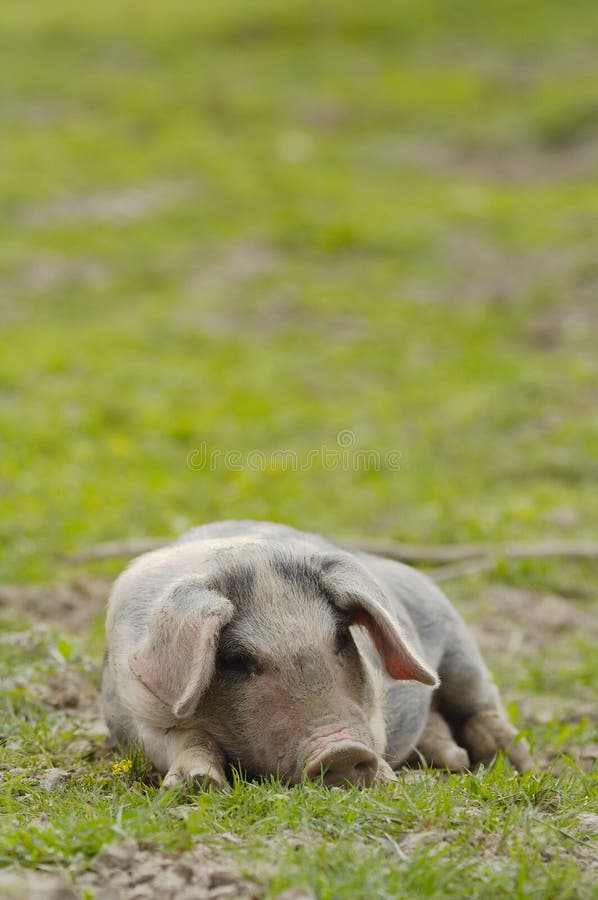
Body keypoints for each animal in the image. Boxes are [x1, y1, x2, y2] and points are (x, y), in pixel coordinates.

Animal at [102, 520, 532, 789]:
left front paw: (387, 780)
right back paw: (455, 759)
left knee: (480, 703)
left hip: (461, 650)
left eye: (341, 639)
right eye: (236, 661)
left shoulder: (373, 708)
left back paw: (514, 760)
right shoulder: (142, 715)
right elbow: (189, 739)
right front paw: (196, 786)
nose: (340, 750)